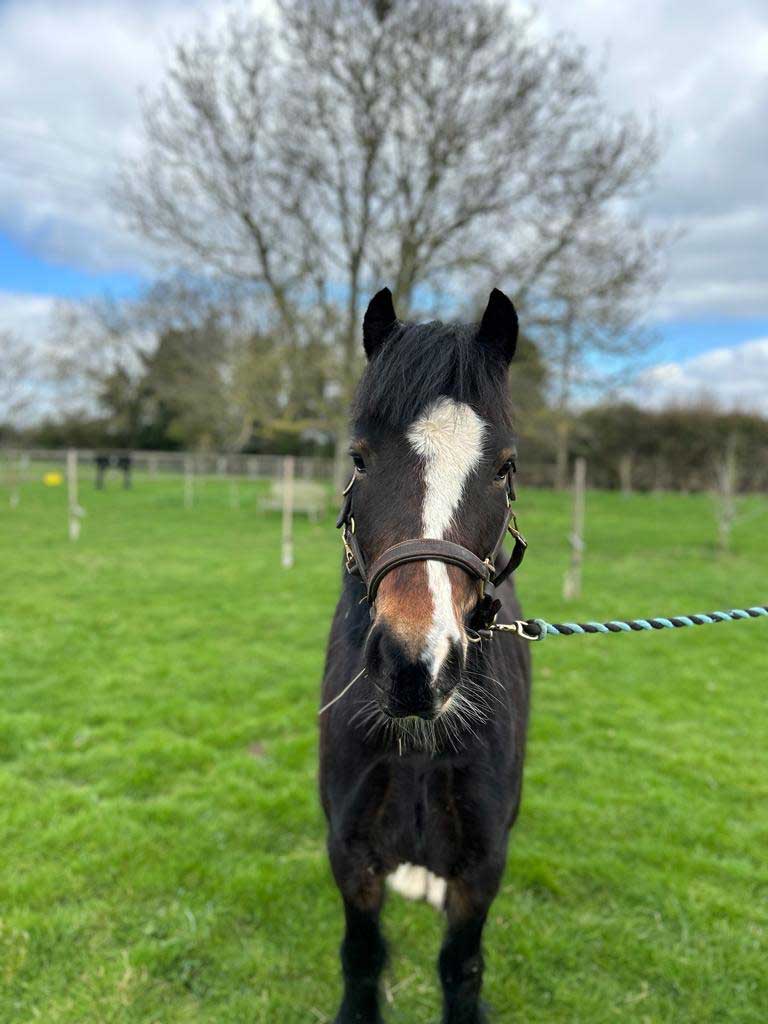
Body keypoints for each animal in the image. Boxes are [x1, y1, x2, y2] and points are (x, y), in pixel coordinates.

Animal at [319, 287, 532, 1024]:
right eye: (358, 459)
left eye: (504, 468)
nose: (417, 666)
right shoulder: (349, 849)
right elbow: (361, 959)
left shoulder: (484, 863)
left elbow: (460, 969)